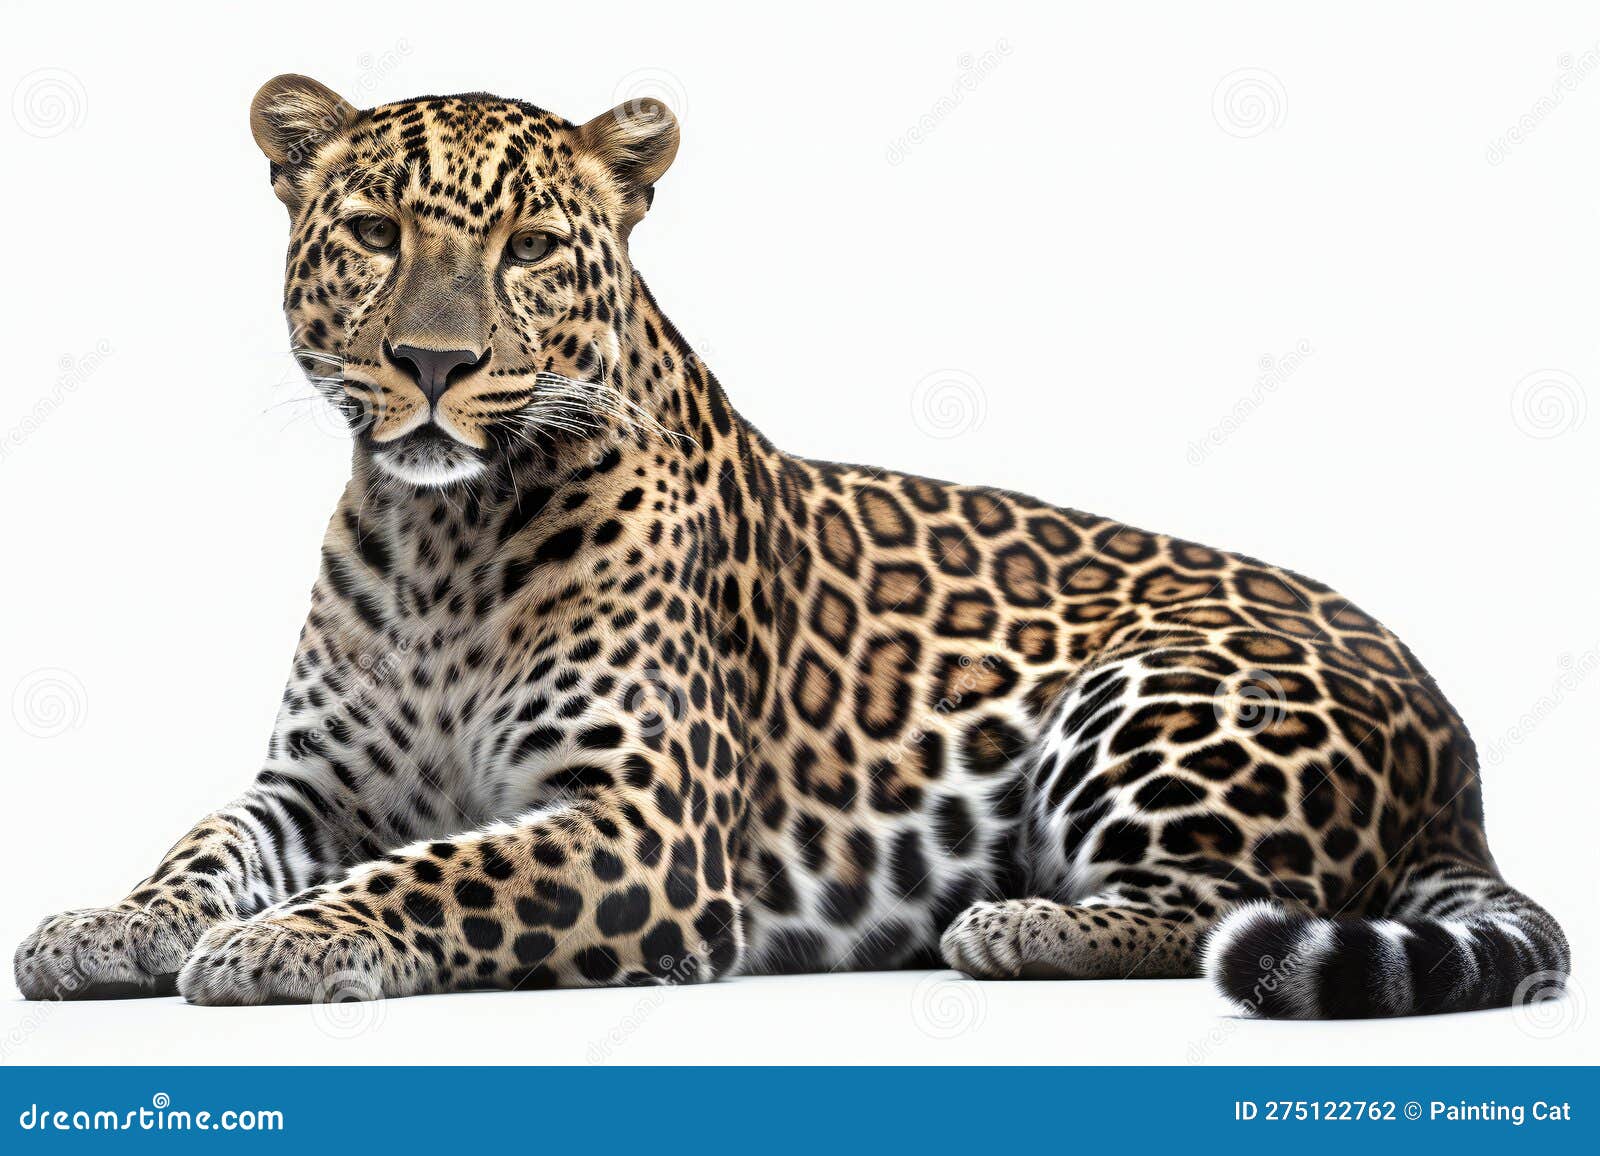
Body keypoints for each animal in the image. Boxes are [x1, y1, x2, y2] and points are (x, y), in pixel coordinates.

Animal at [13, 75, 1570, 1018]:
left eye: (531, 250)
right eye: (377, 233)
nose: (436, 365)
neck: (440, 529)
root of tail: (1460, 771)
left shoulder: (644, 822)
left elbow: (446, 871)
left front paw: (289, 940)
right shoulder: (317, 786)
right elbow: (205, 839)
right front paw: (106, 923)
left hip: (1161, 687)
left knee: (1232, 905)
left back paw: (1015, 926)